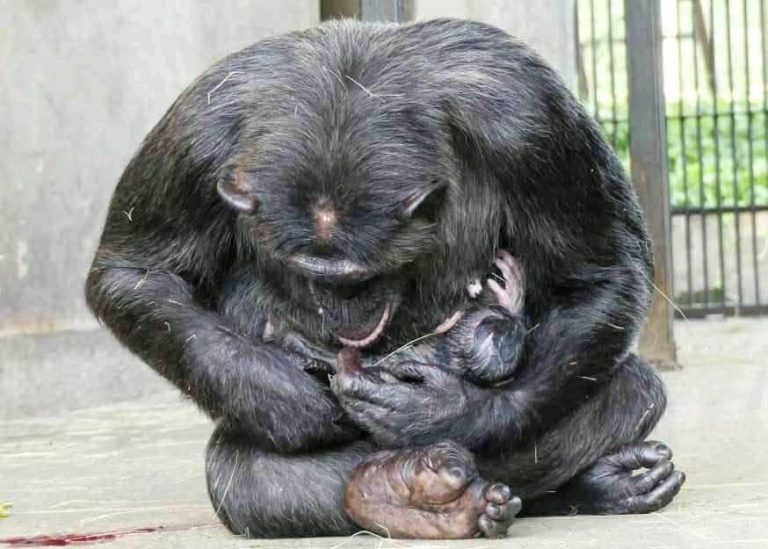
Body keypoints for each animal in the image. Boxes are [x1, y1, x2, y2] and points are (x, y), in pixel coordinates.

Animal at [86, 19, 685, 539]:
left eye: (364, 276)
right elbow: (137, 270)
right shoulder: (199, 132)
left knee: (633, 390)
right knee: (248, 472)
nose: (344, 314)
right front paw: (280, 395)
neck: (346, 91)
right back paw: (399, 494)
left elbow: (600, 273)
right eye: (312, 274)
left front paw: (446, 410)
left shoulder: (529, 118)